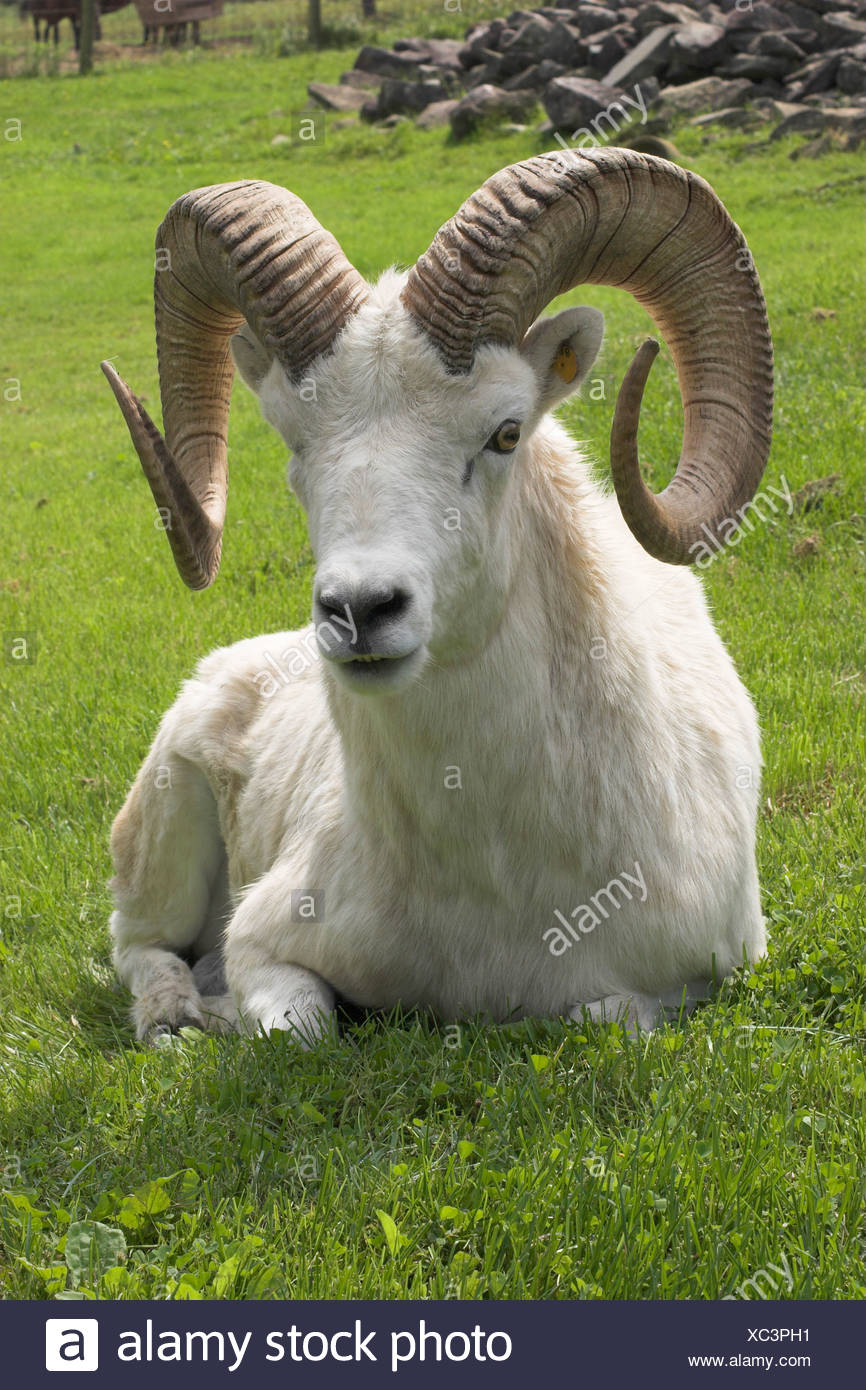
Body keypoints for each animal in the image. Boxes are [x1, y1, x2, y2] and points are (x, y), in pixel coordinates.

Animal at [101, 148, 774, 1044]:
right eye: (293, 443)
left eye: (506, 431)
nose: (359, 611)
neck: (497, 876)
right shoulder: (264, 946)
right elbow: (300, 1029)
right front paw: (222, 1012)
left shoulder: (696, 977)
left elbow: (609, 1016)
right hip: (168, 835)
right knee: (140, 946)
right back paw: (176, 1019)